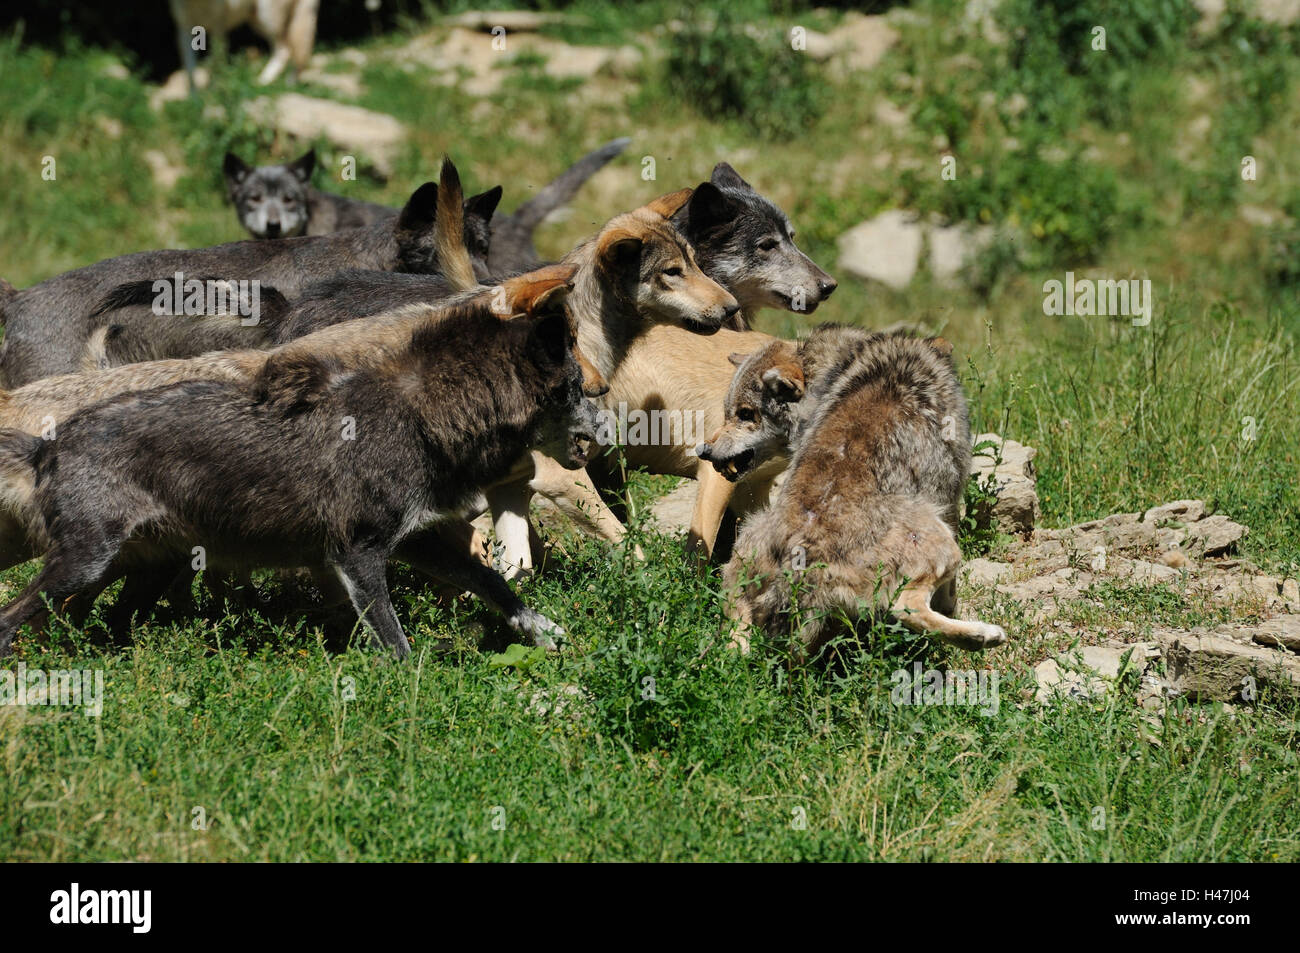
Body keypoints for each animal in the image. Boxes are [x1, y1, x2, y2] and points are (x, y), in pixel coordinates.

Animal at [696, 325, 1007, 659]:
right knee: (904, 607)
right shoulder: (950, 501)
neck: (835, 365)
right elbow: (949, 594)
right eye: (730, 413)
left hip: (745, 547)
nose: (703, 451)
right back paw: (981, 636)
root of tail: (800, 557)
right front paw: (955, 609)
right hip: (941, 540)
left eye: (744, 414)